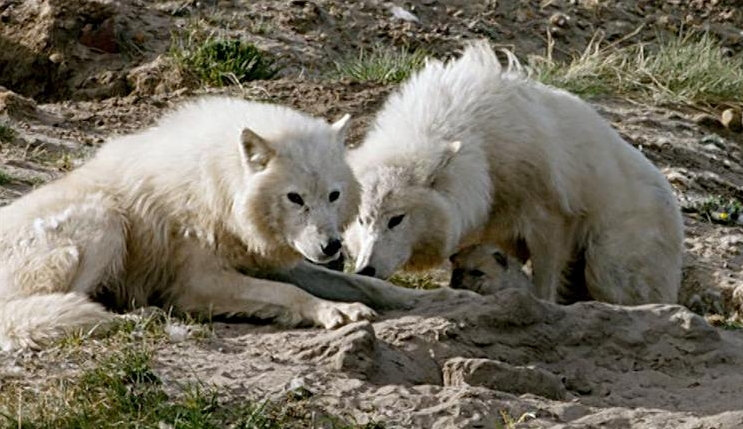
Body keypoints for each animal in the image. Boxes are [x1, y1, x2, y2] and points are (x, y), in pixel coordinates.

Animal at [0, 96, 386, 351]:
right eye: (295, 198)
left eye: (333, 195)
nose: (332, 247)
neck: (220, 186)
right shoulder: (198, 282)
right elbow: (288, 293)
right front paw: (333, 310)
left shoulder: (272, 262)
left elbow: (362, 283)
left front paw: (389, 296)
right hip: (105, 221)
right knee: (47, 310)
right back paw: (134, 319)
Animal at [344, 41, 684, 305]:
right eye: (362, 220)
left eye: (396, 220)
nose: (364, 270)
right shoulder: (503, 235)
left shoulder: (549, 222)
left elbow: (544, 286)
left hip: (606, 267)